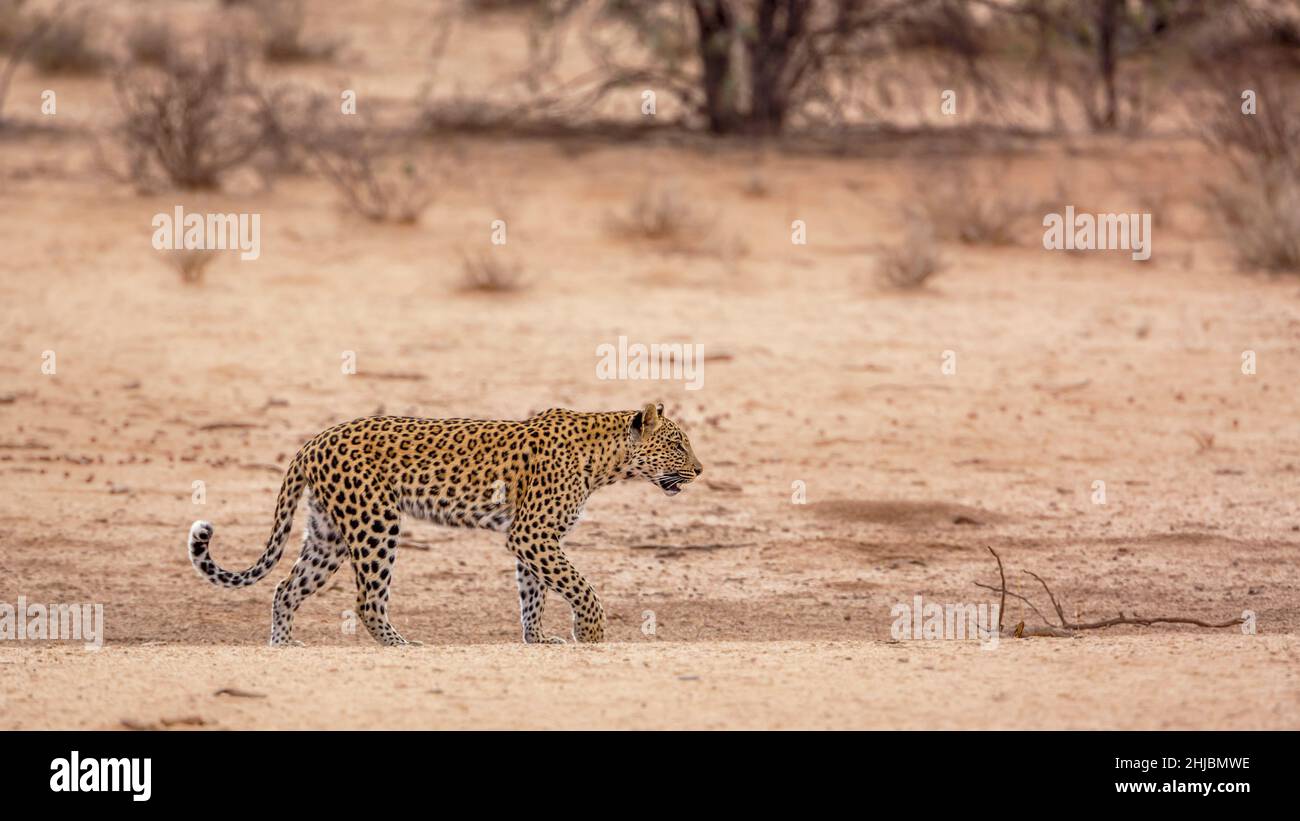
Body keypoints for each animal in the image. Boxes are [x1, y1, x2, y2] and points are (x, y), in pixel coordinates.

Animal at [187, 402, 702, 646]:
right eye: (678, 443)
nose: (699, 470)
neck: (608, 460)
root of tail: (314, 440)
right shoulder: (533, 534)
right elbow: (580, 587)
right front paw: (591, 635)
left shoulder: (531, 539)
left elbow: (533, 594)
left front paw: (539, 639)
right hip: (376, 522)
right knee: (366, 600)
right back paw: (403, 645)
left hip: (329, 534)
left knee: (285, 589)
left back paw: (285, 647)